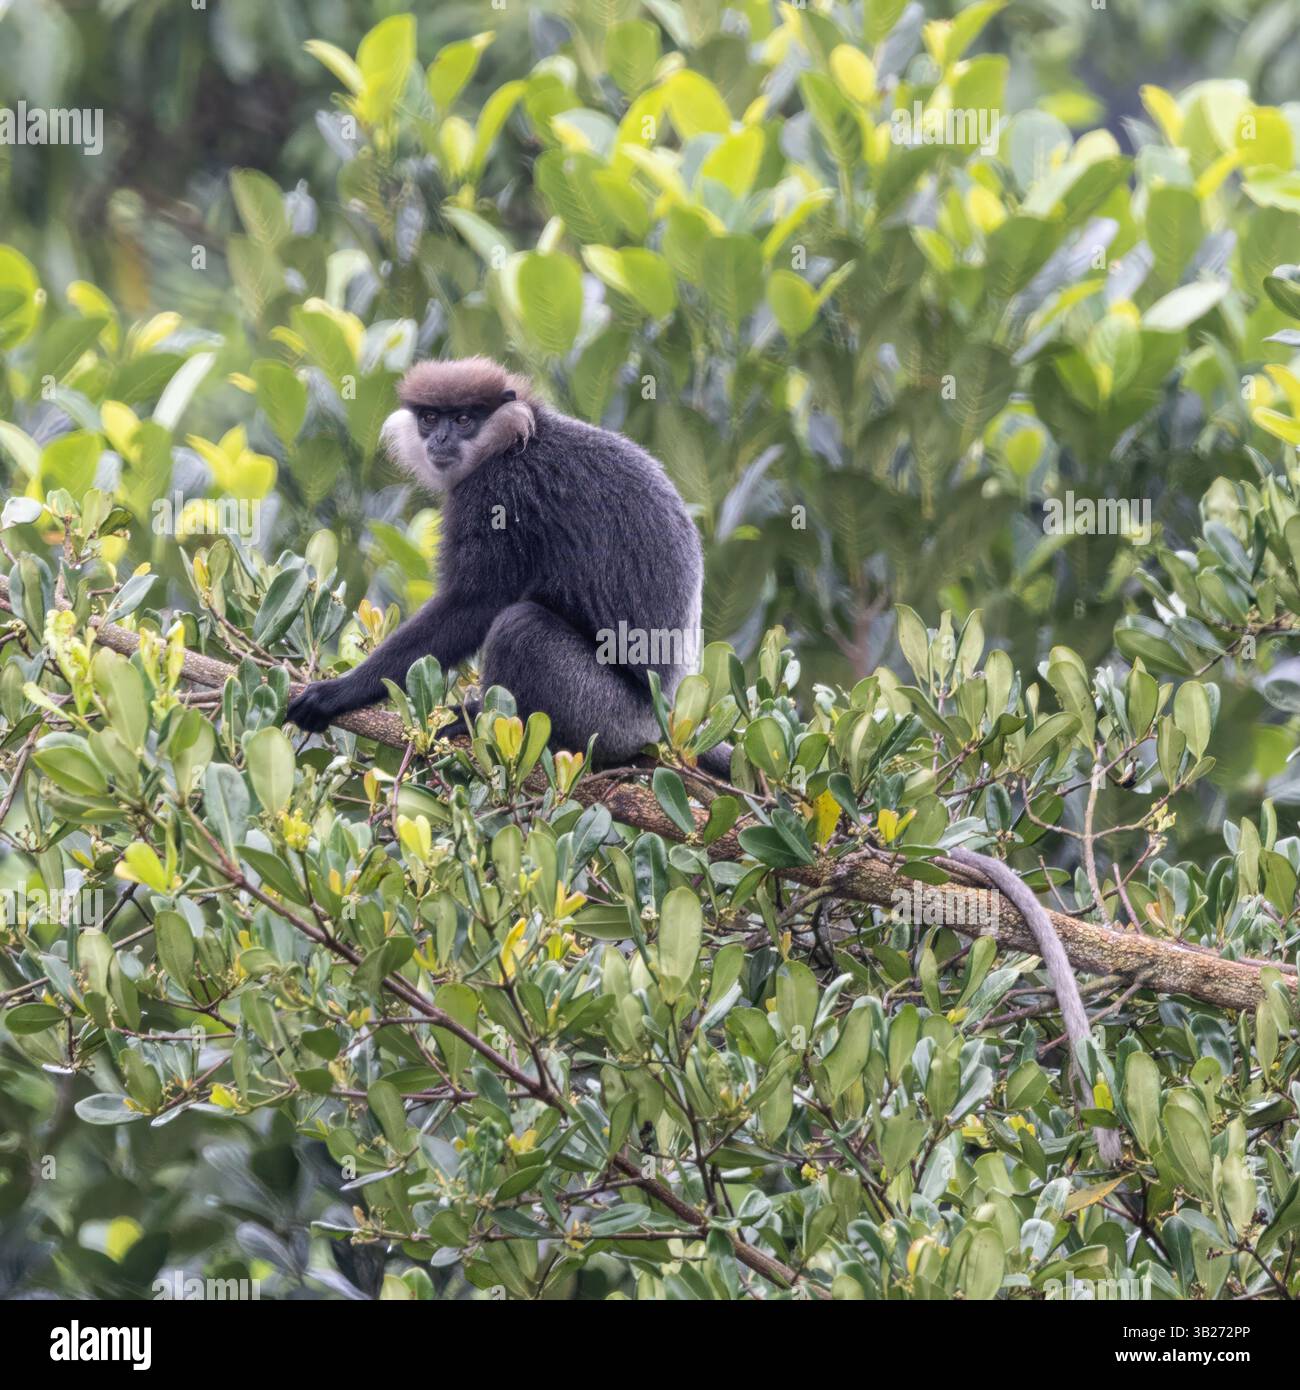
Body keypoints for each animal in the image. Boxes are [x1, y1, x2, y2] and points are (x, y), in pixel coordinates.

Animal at [286, 356, 733, 777]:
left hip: (608, 717)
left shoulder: (496, 493)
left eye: (464, 419)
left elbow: (475, 604)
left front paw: (337, 693)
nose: (441, 437)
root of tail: (663, 721)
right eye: (430, 418)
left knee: (521, 626)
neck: (518, 441)